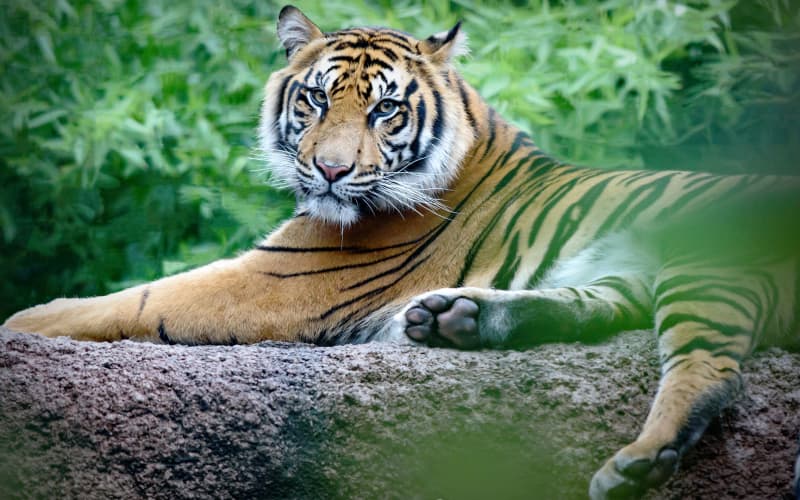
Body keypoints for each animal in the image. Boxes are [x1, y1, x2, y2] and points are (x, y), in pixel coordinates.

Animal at [4, 5, 799, 499]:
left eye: (386, 109)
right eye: (315, 100)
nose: (329, 171)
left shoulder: (279, 275)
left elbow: (138, 297)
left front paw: (23, 321)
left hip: (707, 268)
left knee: (712, 370)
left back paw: (636, 463)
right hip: (630, 278)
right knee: (593, 309)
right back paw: (455, 319)